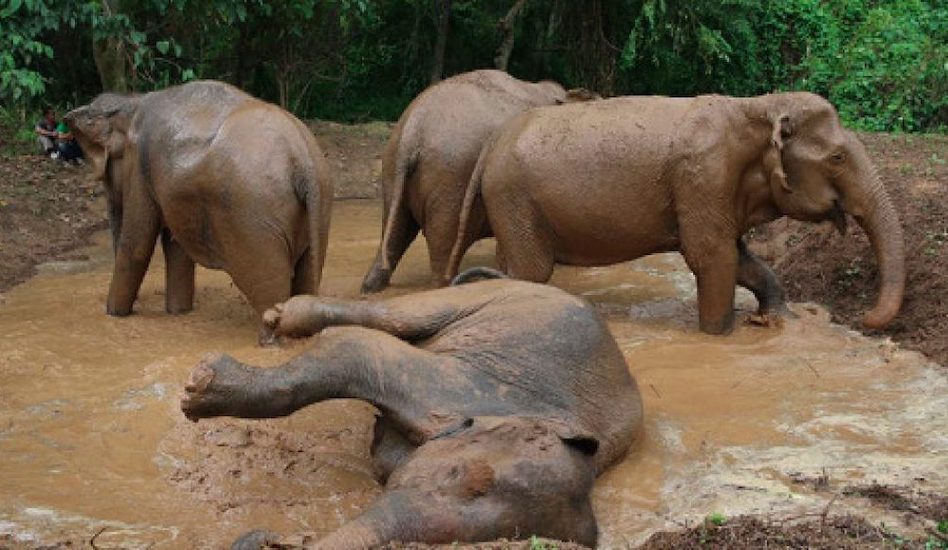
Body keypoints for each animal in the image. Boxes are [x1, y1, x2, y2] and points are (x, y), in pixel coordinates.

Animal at [64, 80, 332, 316]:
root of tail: (301, 158)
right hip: (319, 203)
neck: (132, 102)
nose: (134, 303)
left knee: (268, 286)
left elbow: (137, 243)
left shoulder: (140, 167)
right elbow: (175, 247)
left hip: (254, 217)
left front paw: (113, 314)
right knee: (307, 275)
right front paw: (178, 313)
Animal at [181, 268, 643, 548]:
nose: (261, 536)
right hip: (488, 297)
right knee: (399, 316)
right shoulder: (465, 387)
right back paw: (280, 318)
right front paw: (196, 390)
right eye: (458, 475)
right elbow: (353, 347)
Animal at [360, 69, 595, 294]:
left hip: (392, 171)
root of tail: (412, 129)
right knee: (442, 239)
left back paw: (369, 287)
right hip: (452, 178)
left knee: (395, 228)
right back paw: (450, 284)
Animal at [447, 92, 905, 335]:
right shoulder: (702, 176)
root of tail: (491, 143)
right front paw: (719, 335)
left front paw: (776, 318)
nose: (864, 317)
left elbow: (739, 258)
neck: (756, 106)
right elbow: (712, 258)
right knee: (532, 271)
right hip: (514, 198)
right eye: (838, 158)